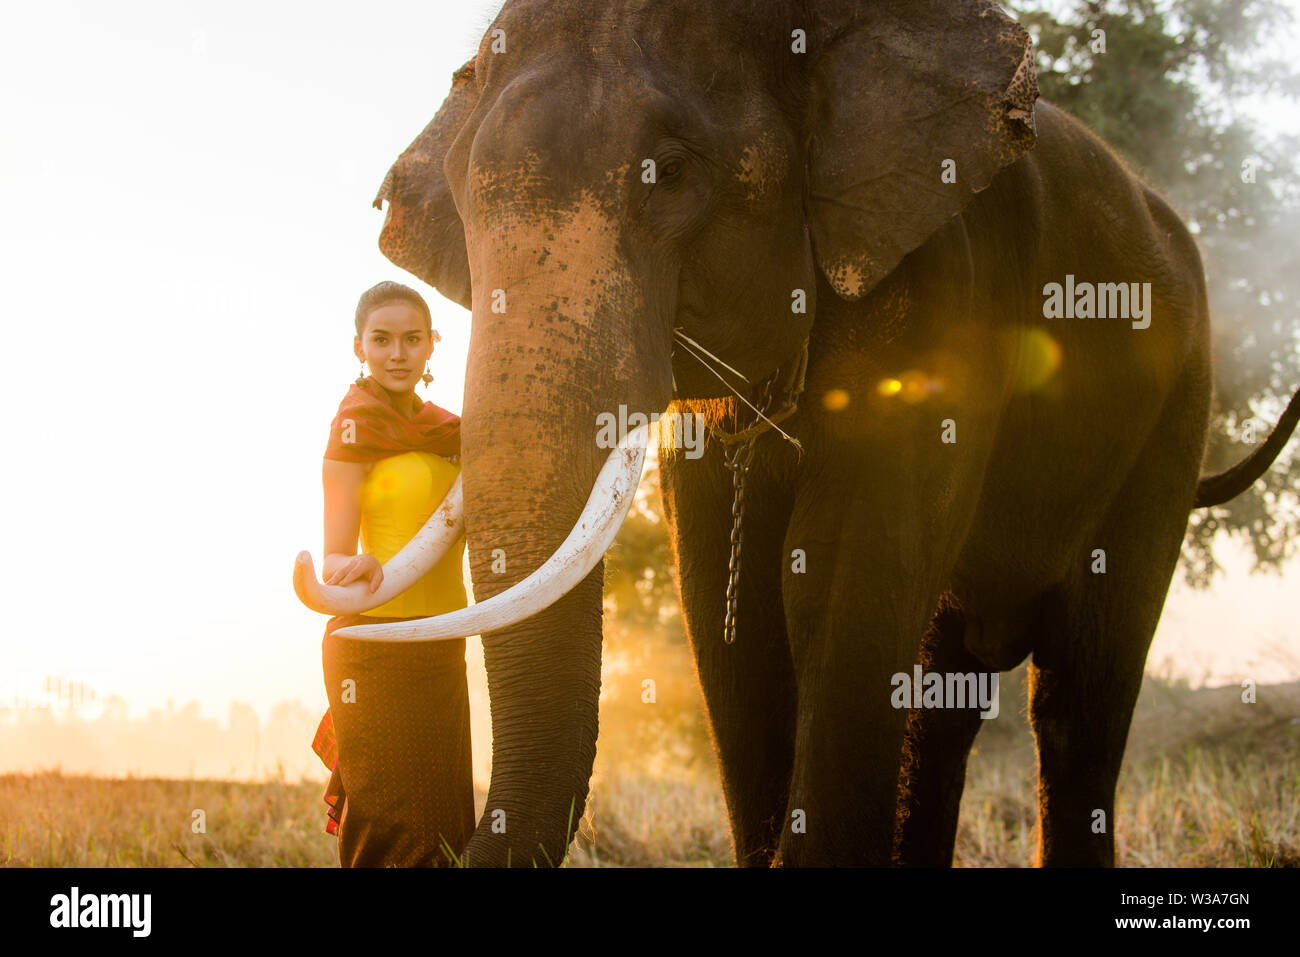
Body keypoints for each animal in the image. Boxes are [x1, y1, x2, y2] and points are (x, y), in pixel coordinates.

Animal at [319, 0, 1300, 866]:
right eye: (459, 198)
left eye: (671, 171)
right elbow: (732, 612)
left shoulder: (945, 286)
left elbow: (835, 579)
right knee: (947, 695)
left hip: (1174, 414)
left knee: (1080, 689)